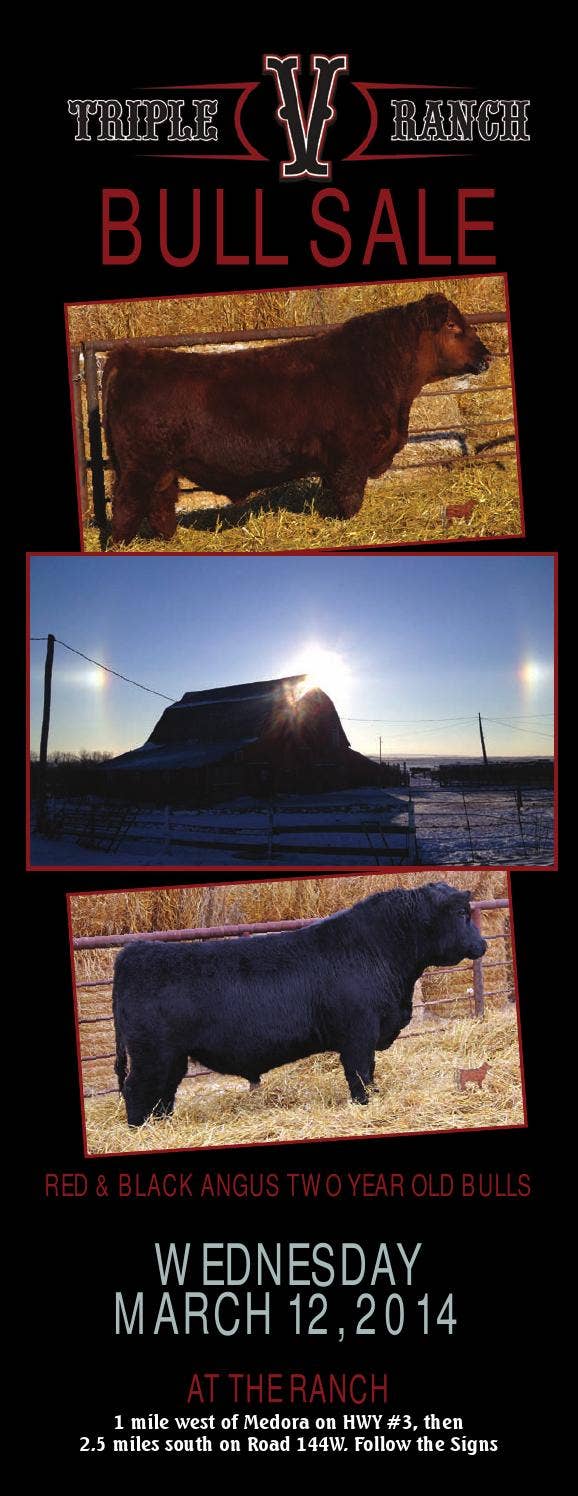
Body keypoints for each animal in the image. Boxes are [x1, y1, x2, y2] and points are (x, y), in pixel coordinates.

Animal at [102, 293, 490, 544]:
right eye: (453, 325)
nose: (486, 356)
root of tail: (129, 356)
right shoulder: (350, 457)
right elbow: (350, 498)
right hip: (140, 466)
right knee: (125, 507)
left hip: (161, 468)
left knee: (160, 505)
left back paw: (169, 540)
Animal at [112, 882, 487, 1125]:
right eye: (461, 913)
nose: (482, 944)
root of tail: (135, 952)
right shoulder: (358, 1034)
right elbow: (360, 1074)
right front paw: (367, 1104)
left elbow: (367, 1072)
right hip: (152, 1053)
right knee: (136, 1089)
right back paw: (140, 1130)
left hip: (171, 1057)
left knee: (163, 1093)